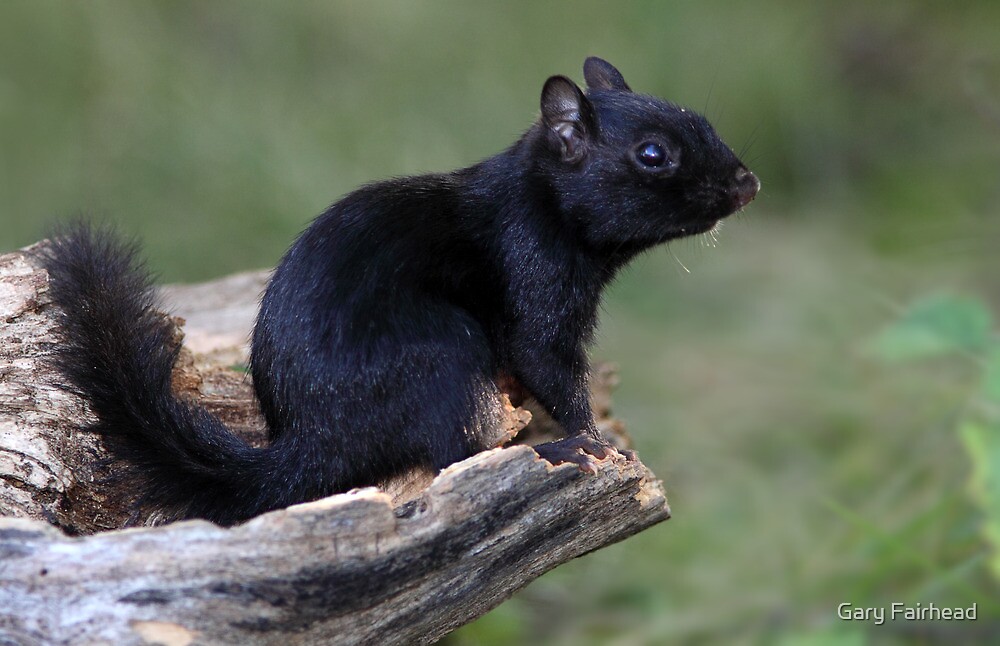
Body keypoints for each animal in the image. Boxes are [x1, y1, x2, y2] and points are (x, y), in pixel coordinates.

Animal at [40, 57, 759, 526]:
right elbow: (548, 365)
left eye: (702, 120)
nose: (747, 184)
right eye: (652, 154)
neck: (541, 202)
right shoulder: (535, 280)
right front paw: (594, 441)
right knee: (454, 457)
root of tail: (315, 437)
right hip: (442, 353)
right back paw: (544, 451)